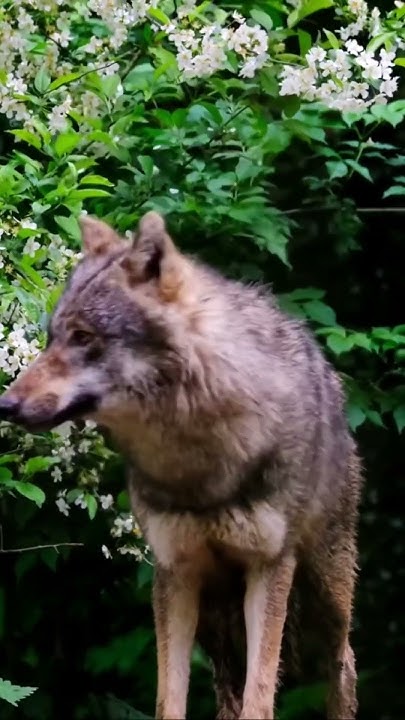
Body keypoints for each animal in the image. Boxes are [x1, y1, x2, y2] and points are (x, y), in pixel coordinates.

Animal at [0, 211, 362, 720]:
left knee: (343, 664)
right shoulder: (176, 572)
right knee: (228, 691)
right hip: (218, 617)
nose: (5, 405)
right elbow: (169, 700)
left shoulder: (269, 567)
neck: (198, 461)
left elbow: (260, 701)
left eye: (84, 337)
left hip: (322, 597)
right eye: (52, 338)